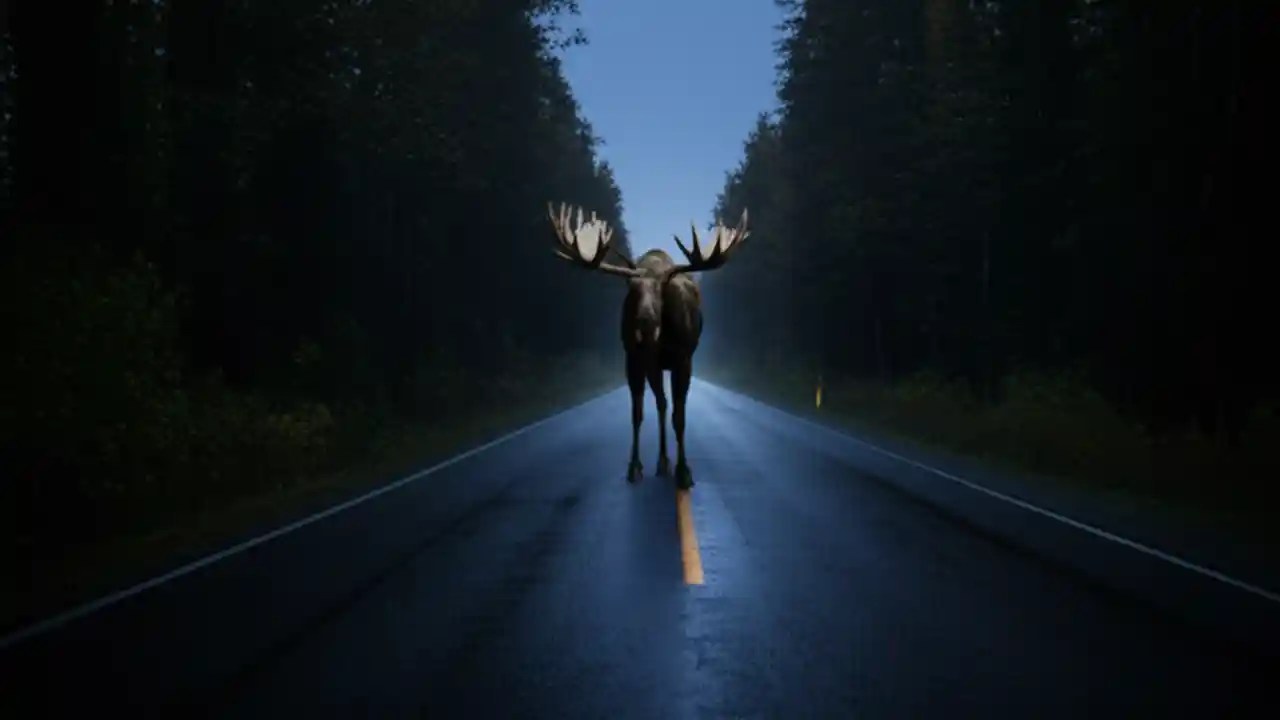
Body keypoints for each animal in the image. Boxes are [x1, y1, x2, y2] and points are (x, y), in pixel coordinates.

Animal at [546, 202, 750, 489]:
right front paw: (635, 466)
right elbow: (638, 413)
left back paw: (667, 461)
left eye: (661, 288)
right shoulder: (635, 358)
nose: (643, 322)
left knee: (667, 406)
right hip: (650, 365)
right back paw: (662, 460)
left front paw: (684, 470)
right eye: (631, 288)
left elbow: (680, 416)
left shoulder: (683, 359)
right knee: (660, 403)